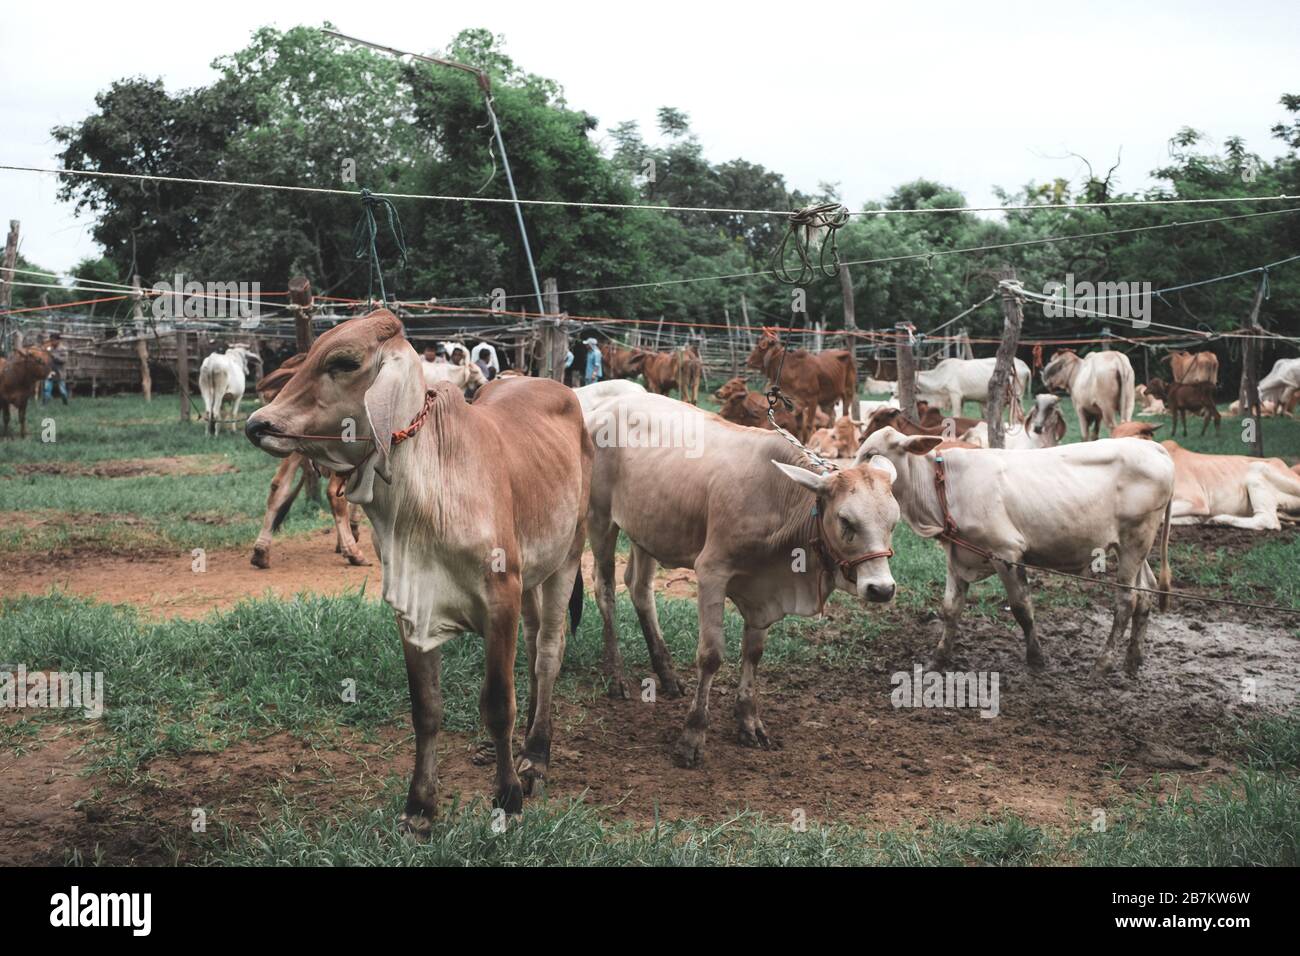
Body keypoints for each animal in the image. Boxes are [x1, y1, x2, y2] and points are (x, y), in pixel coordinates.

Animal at [245, 310, 592, 828]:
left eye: (343, 362)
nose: (257, 423)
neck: (428, 496)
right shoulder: (412, 606)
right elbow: (426, 709)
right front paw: (420, 807)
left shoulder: (501, 600)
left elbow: (497, 704)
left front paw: (508, 797)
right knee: (533, 649)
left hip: (566, 558)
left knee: (548, 652)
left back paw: (535, 755)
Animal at [582, 390, 899, 766]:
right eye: (846, 520)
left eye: (894, 522)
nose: (881, 589)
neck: (780, 499)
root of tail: (605, 407)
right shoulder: (711, 572)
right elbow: (711, 656)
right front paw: (692, 735)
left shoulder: (763, 593)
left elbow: (754, 653)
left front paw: (749, 721)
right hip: (601, 520)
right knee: (605, 589)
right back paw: (615, 675)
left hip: (646, 530)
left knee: (639, 589)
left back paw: (667, 673)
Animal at [859, 427, 1174, 677]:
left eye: (871, 454)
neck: (945, 486)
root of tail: (1152, 447)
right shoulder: (957, 556)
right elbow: (950, 609)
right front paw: (938, 659)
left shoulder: (1006, 552)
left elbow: (1022, 607)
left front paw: (1035, 658)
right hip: (1135, 547)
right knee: (1146, 592)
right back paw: (1133, 660)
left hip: (1135, 540)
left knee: (1127, 600)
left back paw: (1103, 663)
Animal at [1161, 441, 1300, 530]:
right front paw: (1194, 519)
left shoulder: (1196, 500)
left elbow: (1163, 516)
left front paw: (1195, 518)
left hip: (1257, 468)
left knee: (1267, 519)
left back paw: (1218, 520)